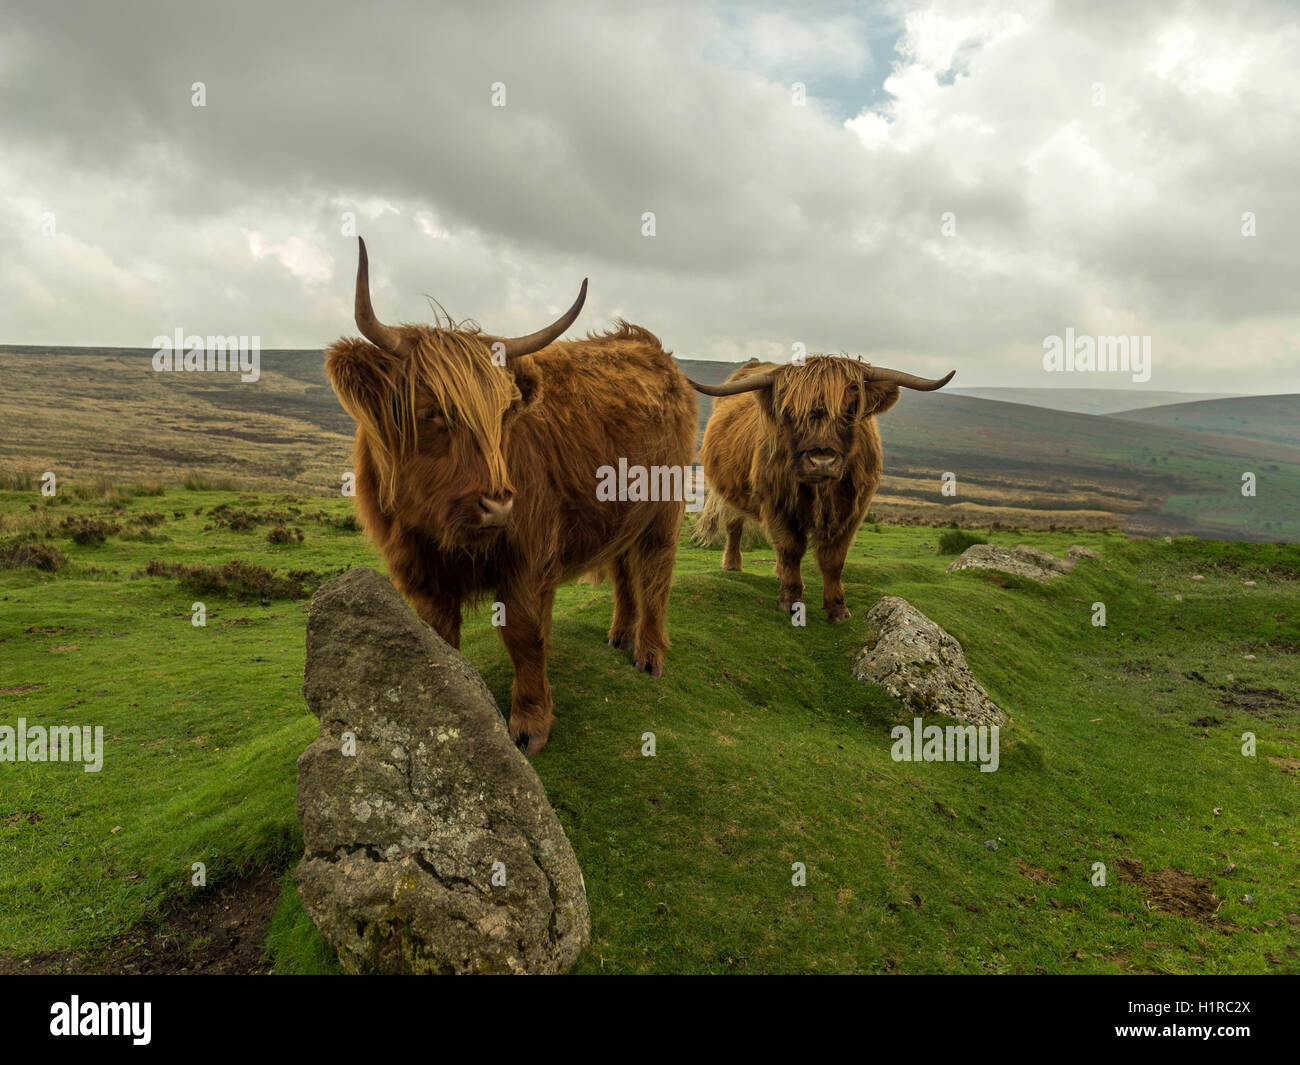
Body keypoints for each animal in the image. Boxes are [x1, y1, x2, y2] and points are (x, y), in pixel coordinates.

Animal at [325, 239, 696, 754]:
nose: (498, 503)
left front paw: (531, 723)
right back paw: (620, 635)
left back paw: (649, 653)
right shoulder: (419, 572)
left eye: (504, 415)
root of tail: (647, 345)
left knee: (656, 574)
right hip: (621, 516)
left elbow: (525, 635)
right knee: (624, 569)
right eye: (432, 411)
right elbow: (440, 641)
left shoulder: (528, 555)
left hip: (665, 508)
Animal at [688, 356, 953, 622]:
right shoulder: (776, 502)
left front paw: (837, 608)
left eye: (850, 410)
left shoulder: (853, 510)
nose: (822, 461)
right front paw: (791, 601)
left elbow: (833, 558)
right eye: (789, 412)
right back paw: (732, 565)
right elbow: (790, 549)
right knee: (734, 526)